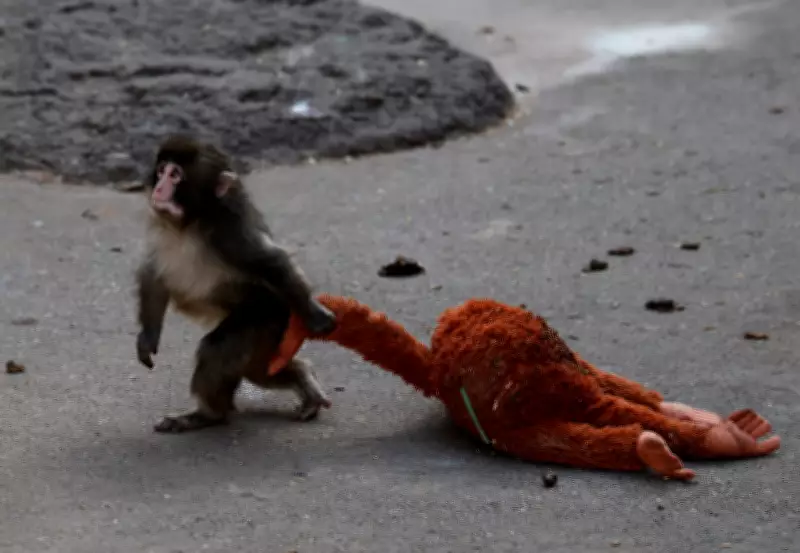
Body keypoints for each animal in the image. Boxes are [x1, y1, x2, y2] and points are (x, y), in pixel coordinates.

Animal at [135, 134, 336, 433]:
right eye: (161, 171)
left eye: (175, 175)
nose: (159, 189)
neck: (189, 223)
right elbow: (154, 275)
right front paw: (148, 337)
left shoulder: (230, 233)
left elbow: (272, 261)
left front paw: (315, 314)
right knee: (260, 371)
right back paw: (303, 376)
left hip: (267, 315)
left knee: (219, 350)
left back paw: (209, 414)